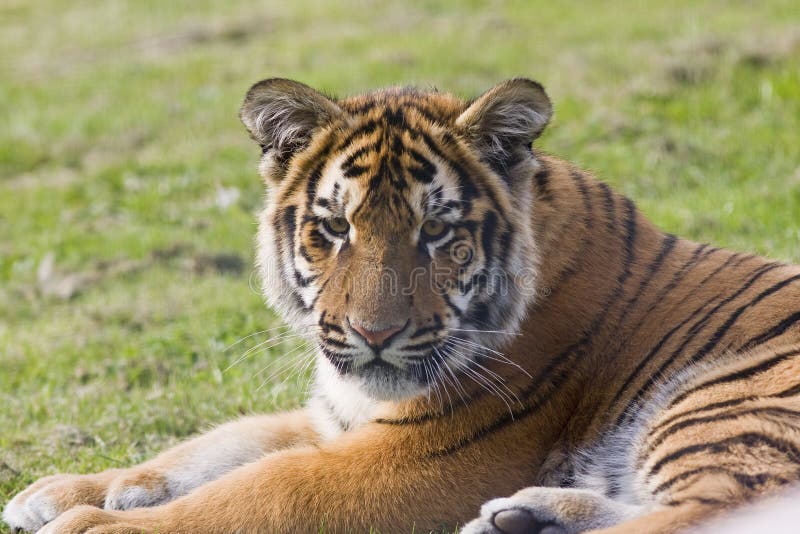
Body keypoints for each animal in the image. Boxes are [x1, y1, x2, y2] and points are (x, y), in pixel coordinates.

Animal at [4, 77, 800, 534]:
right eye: (335, 228)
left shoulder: (426, 455)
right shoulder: (333, 416)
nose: (374, 334)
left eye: (437, 232)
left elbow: (264, 487)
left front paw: (91, 527)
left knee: (711, 508)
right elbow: (211, 447)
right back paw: (522, 519)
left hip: (721, 402)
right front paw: (56, 492)